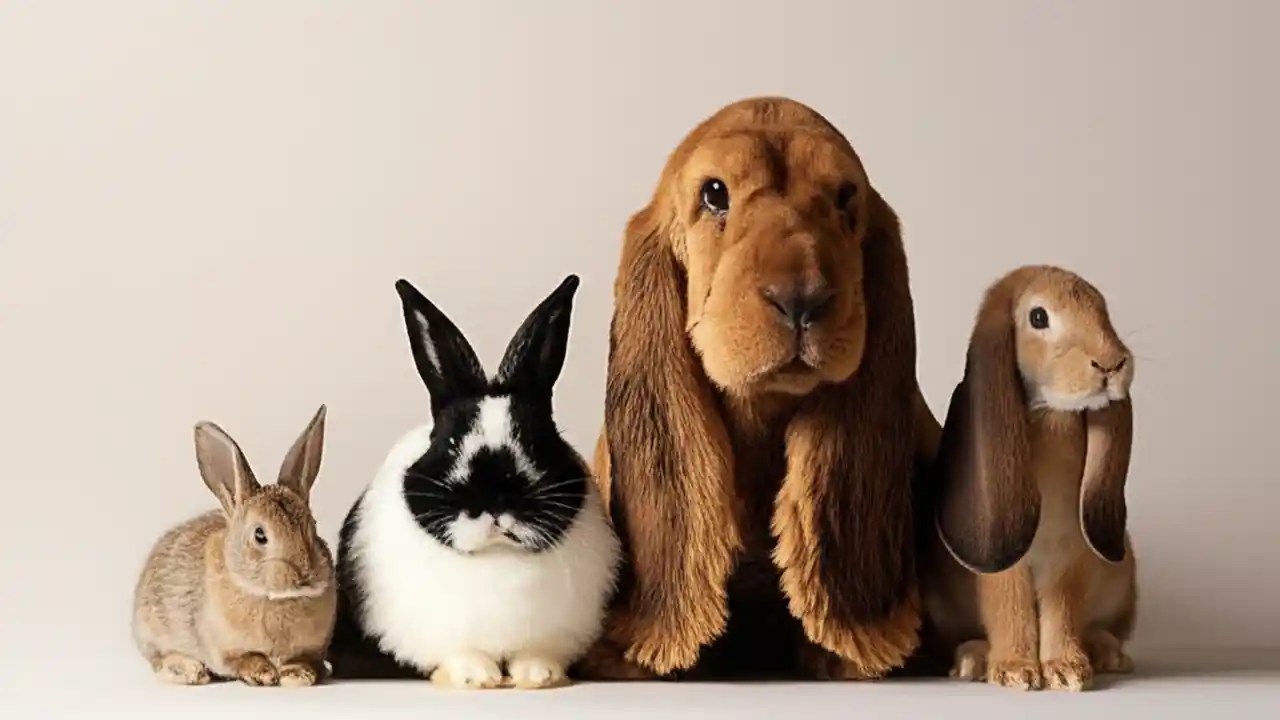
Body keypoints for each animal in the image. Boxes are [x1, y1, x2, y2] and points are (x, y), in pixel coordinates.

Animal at [132, 405, 337, 687]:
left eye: (313, 527)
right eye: (260, 535)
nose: (304, 576)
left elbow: (302, 661)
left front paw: (298, 675)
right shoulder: (226, 649)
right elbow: (246, 659)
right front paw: (264, 673)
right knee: (159, 659)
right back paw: (188, 671)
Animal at [332, 274, 621, 690]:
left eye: (537, 442)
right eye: (451, 442)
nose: (496, 502)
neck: (497, 558)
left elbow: (535, 654)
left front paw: (539, 676)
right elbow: (462, 654)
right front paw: (476, 678)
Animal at [921, 265, 1137, 692]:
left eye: (1102, 309)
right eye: (1038, 317)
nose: (1113, 363)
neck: (1052, 419)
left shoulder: (1070, 555)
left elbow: (1063, 610)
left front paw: (1066, 669)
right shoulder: (1005, 568)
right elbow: (1009, 605)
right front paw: (1015, 670)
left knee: (1102, 626)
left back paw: (1106, 653)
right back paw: (973, 659)